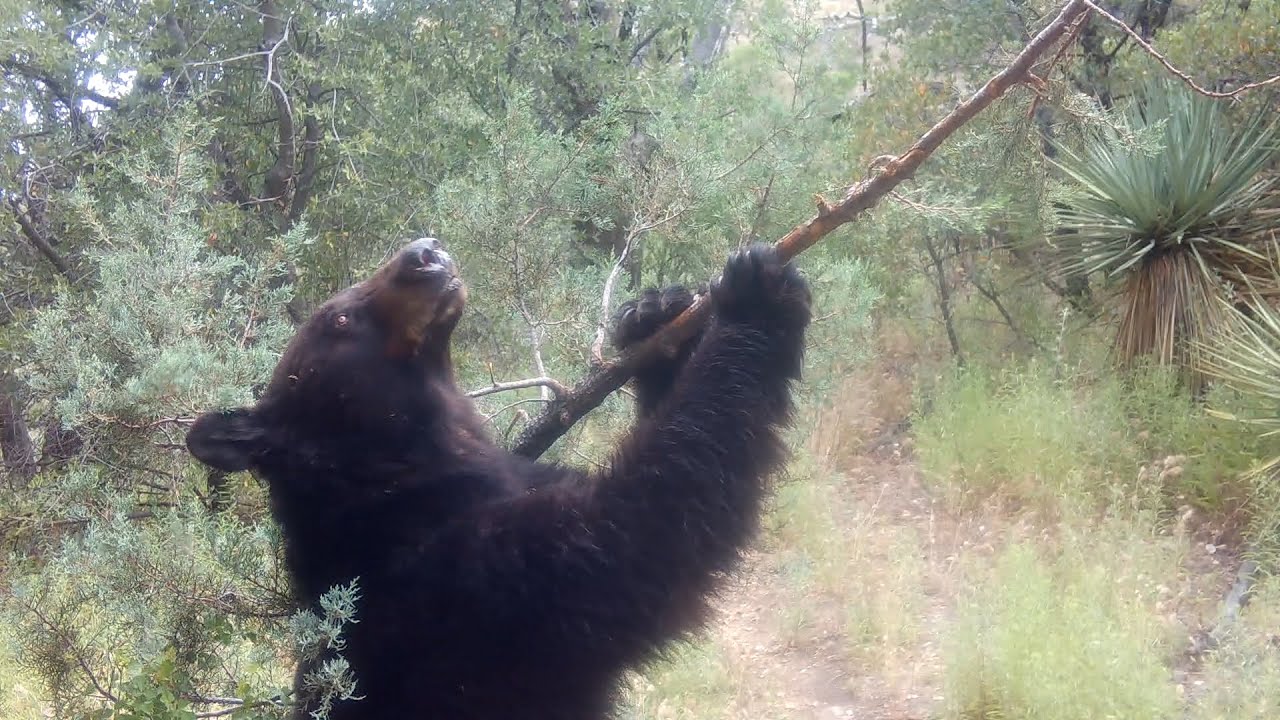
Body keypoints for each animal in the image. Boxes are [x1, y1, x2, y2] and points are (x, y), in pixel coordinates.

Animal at [185, 236, 811, 720]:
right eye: (340, 317)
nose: (424, 250)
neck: (399, 472)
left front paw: (655, 318)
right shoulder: (474, 585)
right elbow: (645, 527)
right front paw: (756, 296)